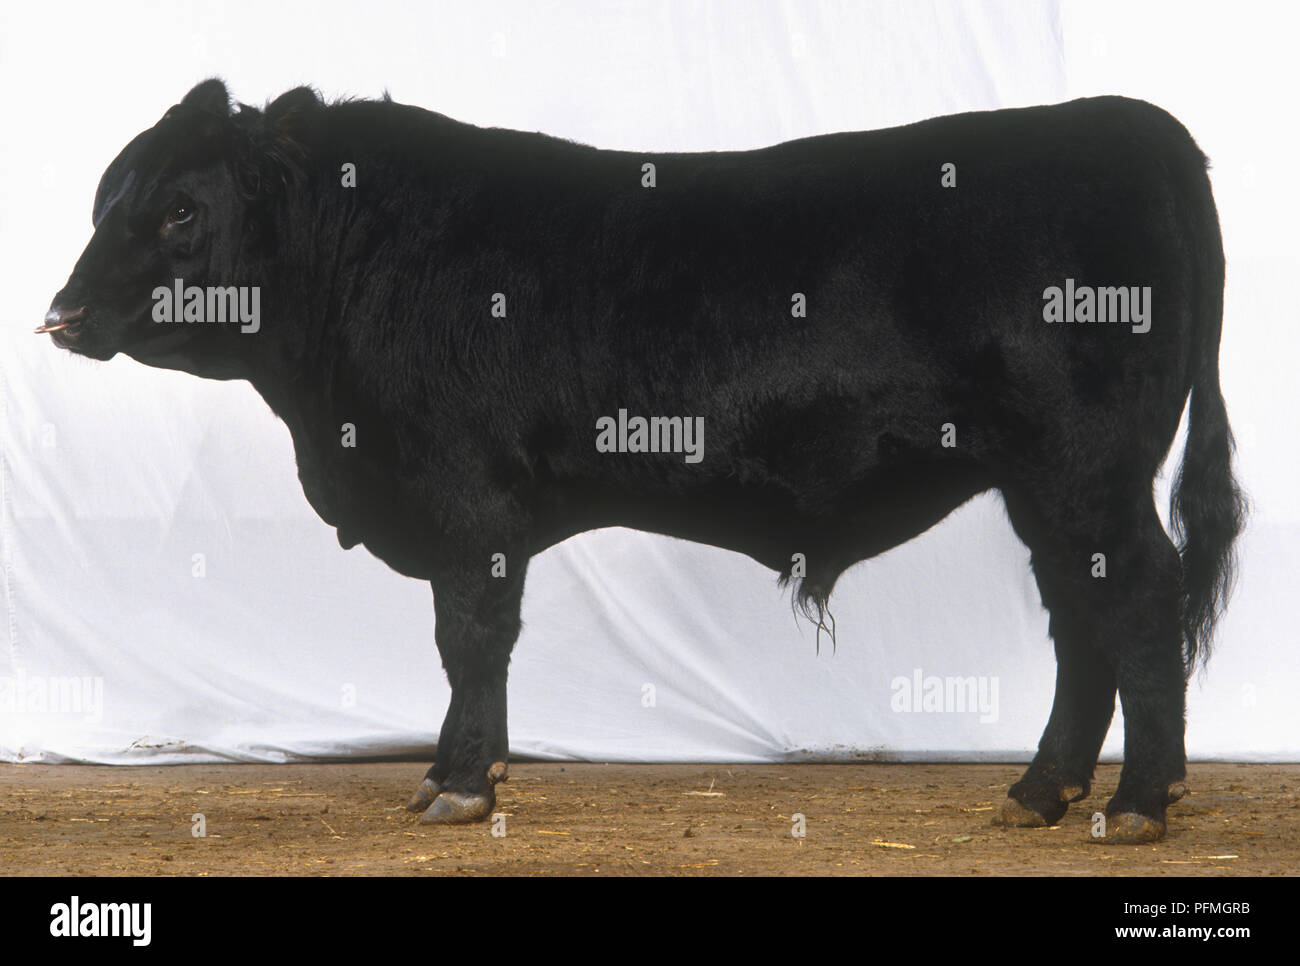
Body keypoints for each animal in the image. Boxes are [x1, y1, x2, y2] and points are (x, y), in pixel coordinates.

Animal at [41, 79, 1244, 843]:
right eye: (106, 197)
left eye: (182, 208)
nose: (59, 313)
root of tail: (1128, 123)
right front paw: (461, 772)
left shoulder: (466, 500)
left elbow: (469, 639)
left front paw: (460, 786)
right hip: (1048, 483)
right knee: (1080, 617)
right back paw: (1040, 794)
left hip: (1082, 468)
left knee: (1138, 600)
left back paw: (1137, 803)